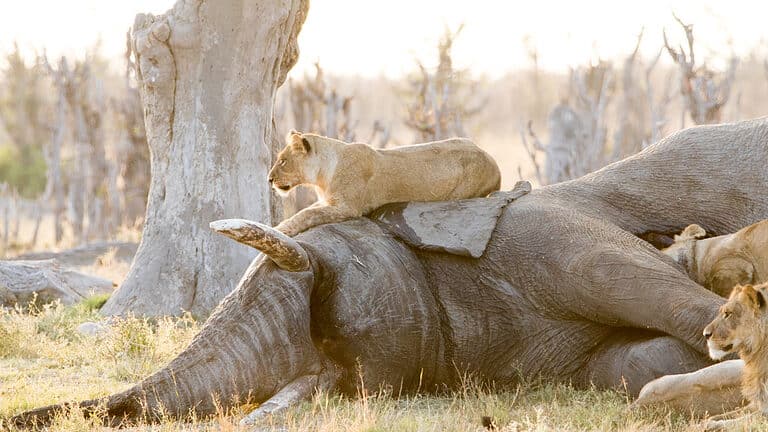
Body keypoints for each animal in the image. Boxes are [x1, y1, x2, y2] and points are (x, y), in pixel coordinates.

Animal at [268, 131, 501, 237]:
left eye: (283, 161)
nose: (269, 179)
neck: (322, 177)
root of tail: (494, 163)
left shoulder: (348, 207)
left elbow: (307, 214)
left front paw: (282, 230)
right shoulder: (329, 201)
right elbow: (306, 210)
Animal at [700, 282, 768, 430]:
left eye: (728, 314)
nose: (705, 334)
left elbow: (741, 420)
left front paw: (711, 425)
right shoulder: (759, 401)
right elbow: (732, 413)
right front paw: (705, 421)